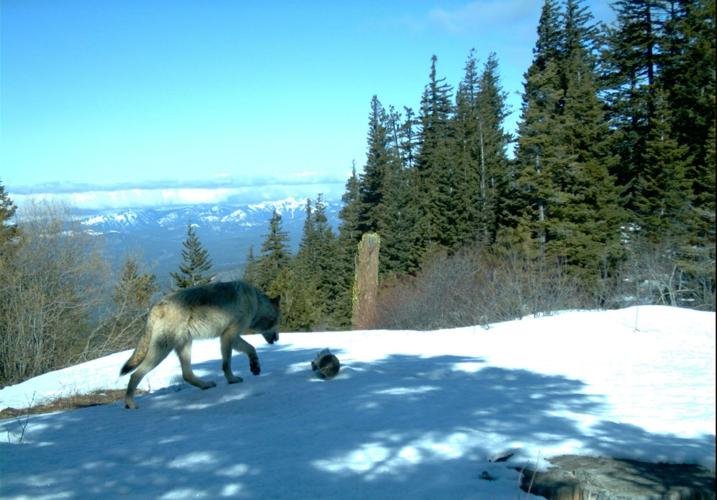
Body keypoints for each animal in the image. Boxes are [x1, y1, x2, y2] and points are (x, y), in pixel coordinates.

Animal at [120, 280, 280, 409]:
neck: (256, 302)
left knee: (186, 375)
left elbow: (250, 350)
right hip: (161, 351)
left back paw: (206, 385)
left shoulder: (230, 337)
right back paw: (130, 404)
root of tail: (156, 306)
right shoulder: (229, 336)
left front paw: (255, 367)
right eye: (278, 322)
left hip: (185, 347)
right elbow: (230, 362)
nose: (278, 338)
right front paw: (233, 379)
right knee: (134, 375)